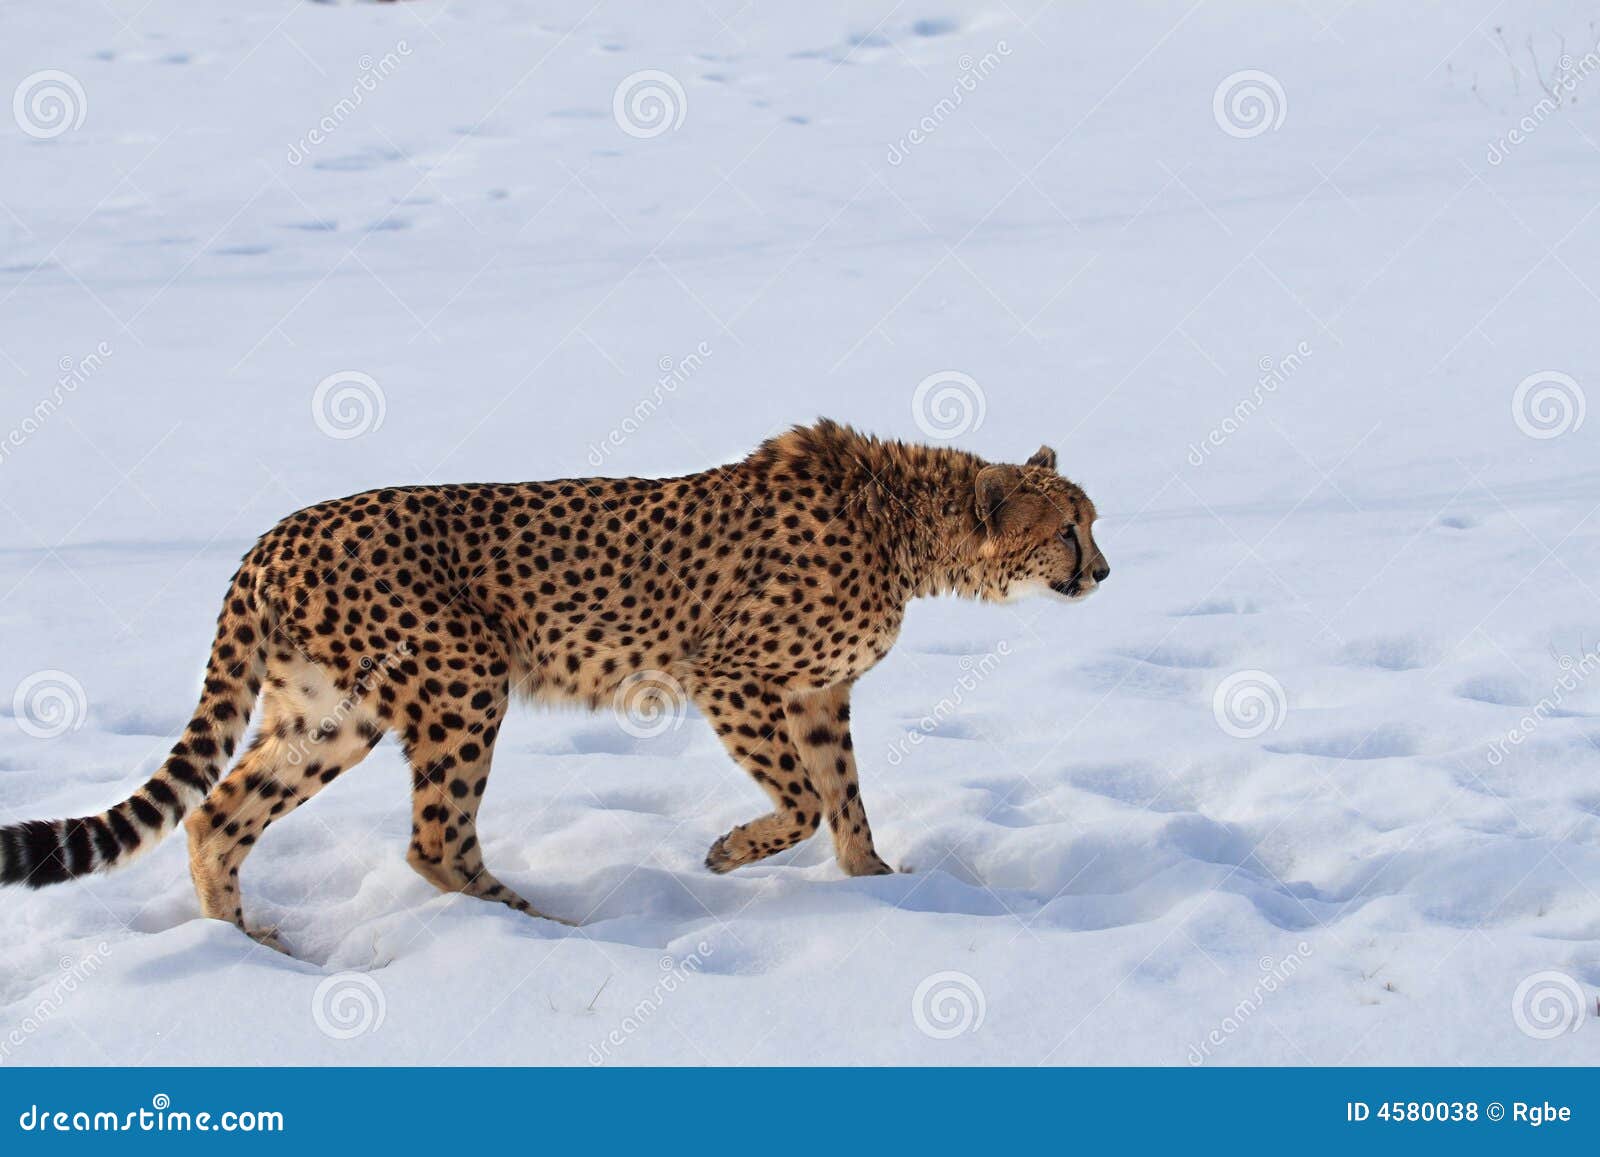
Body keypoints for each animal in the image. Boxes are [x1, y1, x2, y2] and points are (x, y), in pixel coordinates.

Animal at [0, 419, 1108, 948]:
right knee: (433, 837)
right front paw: (726, 853)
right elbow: (799, 798)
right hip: (463, 681)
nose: (1101, 571)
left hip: (330, 715)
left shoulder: (814, 696)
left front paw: (883, 888)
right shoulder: (728, 673)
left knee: (216, 812)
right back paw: (537, 924)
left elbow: (843, 799)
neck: (906, 524)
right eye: (1067, 527)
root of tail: (278, 532)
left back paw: (247, 944)